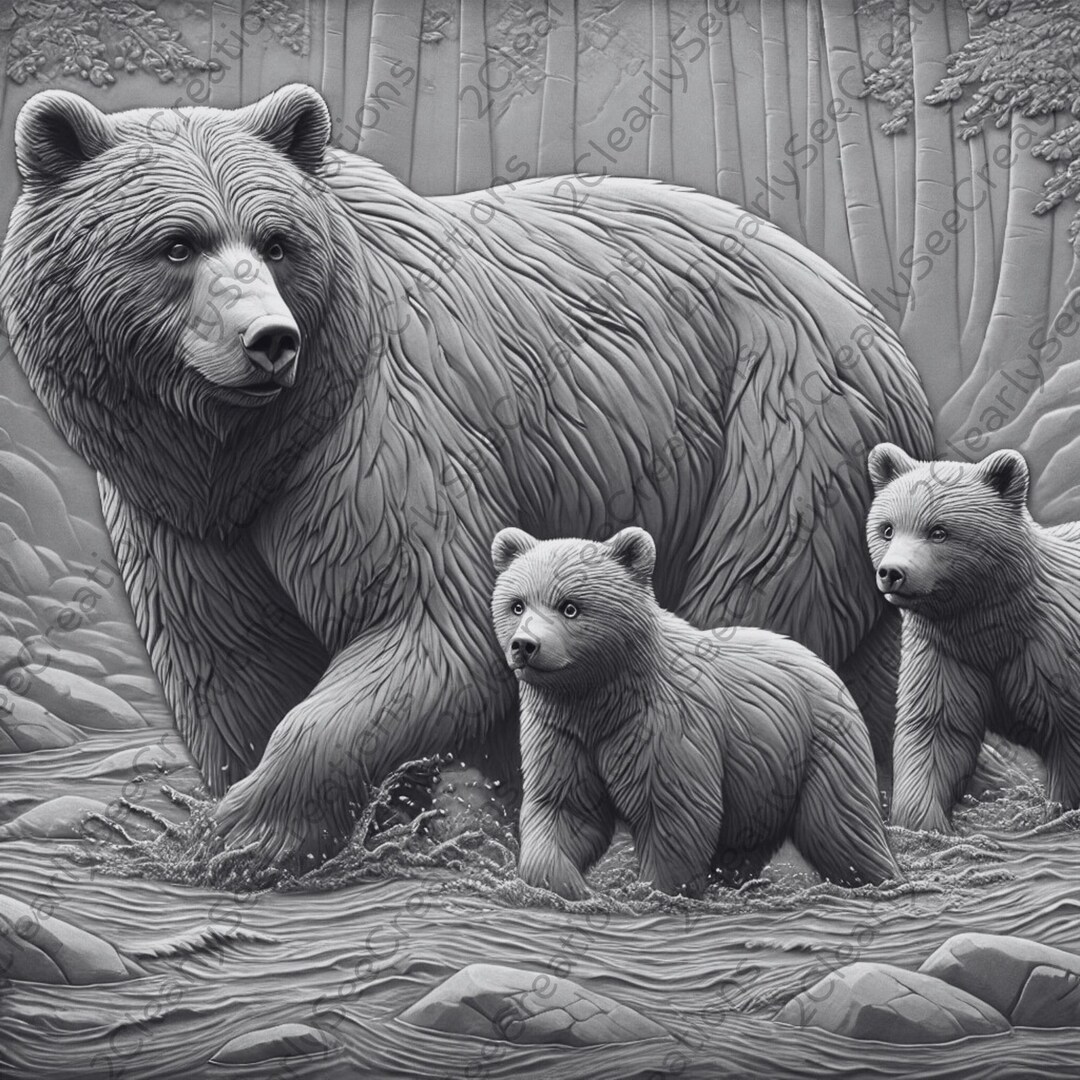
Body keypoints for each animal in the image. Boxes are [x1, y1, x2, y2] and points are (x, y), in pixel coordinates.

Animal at [490, 526, 900, 898]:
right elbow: (564, 810)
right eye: (517, 604)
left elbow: (675, 816)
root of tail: (818, 660)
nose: (525, 645)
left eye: (570, 606)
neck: (602, 695)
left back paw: (881, 878)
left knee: (840, 830)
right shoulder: (564, 732)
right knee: (744, 847)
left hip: (819, 750)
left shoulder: (663, 725)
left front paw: (653, 890)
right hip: (762, 782)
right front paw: (567, 886)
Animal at [866, 443, 1080, 833]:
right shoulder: (948, 656)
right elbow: (935, 735)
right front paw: (922, 825)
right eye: (887, 528)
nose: (892, 572)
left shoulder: (1053, 655)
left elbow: (1069, 744)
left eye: (938, 531)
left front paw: (1056, 815)